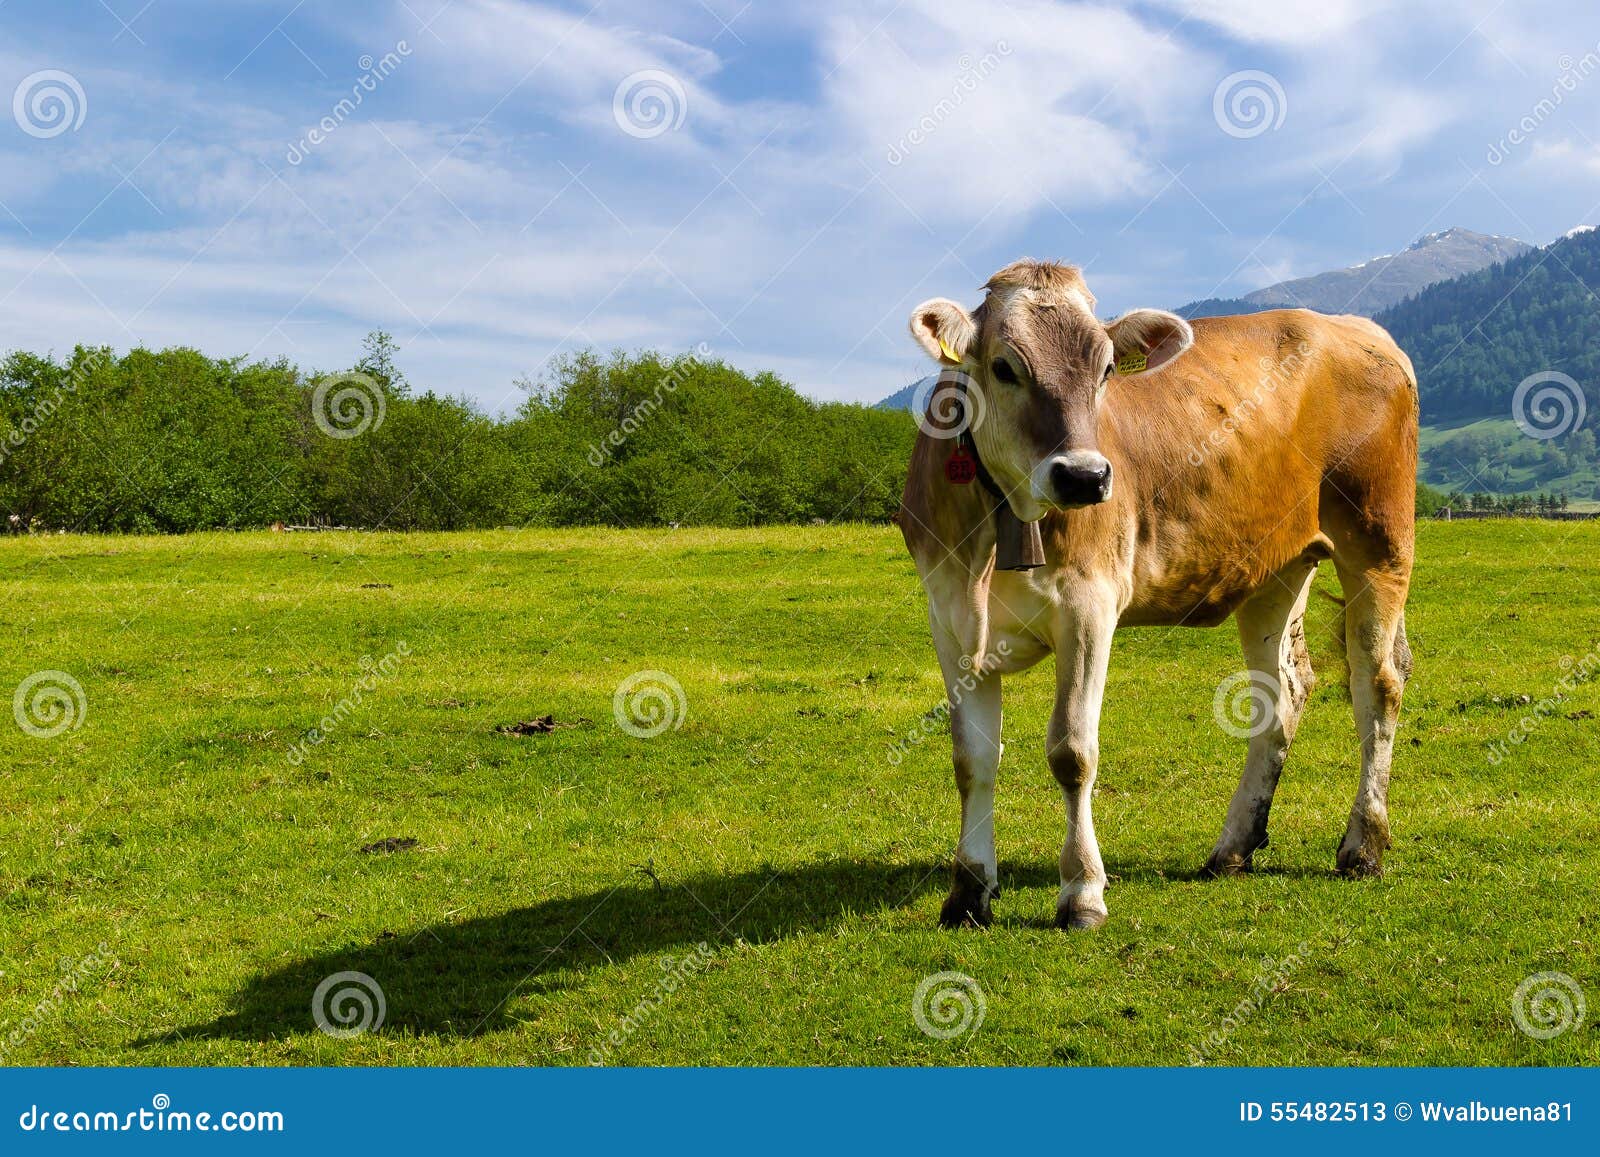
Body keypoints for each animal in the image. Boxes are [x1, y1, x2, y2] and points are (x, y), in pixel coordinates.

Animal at [898, 260, 1416, 930]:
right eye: (1005, 367)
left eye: (1106, 369)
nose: (1085, 477)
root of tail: (1356, 328)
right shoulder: (951, 618)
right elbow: (973, 759)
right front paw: (967, 891)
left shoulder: (1089, 605)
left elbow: (1072, 752)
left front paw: (1082, 892)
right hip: (1276, 568)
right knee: (1284, 691)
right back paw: (1233, 847)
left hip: (1379, 542)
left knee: (1377, 684)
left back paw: (1363, 845)